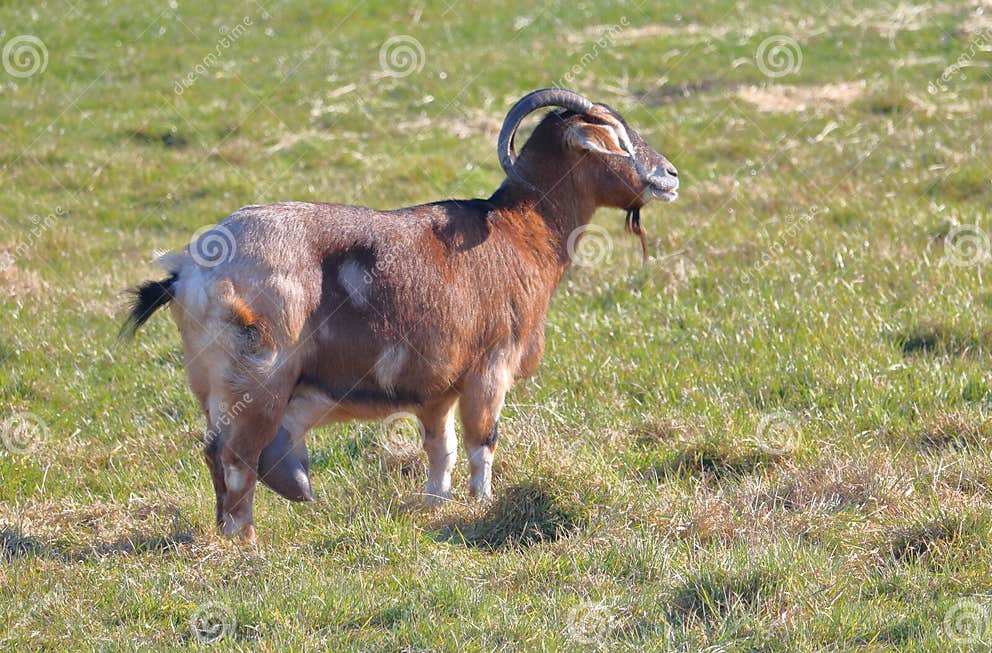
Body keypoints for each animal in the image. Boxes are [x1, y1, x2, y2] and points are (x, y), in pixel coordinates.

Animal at [123, 89, 679, 542]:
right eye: (616, 137)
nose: (670, 176)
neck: (516, 232)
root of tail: (190, 271)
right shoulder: (490, 367)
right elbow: (482, 443)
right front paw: (483, 504)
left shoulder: (437, 390)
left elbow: (441, 450)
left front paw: (436, 506)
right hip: (257, 383)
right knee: (234, 457)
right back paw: (245, 543)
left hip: (215, 390)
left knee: (217, 456)